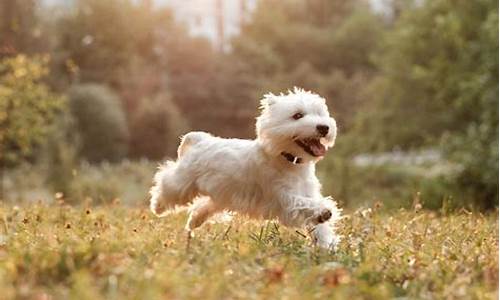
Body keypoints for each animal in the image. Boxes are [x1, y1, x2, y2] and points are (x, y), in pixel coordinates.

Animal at [150, 86, 342, 248]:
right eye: (297, 116)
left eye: (320, 113)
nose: (324, 127)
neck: (290, 161)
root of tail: (199, 140)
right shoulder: (282, 196)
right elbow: (303, 205)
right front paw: (324, 212)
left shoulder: (308, 192)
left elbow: (319, 224)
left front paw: (326, 245)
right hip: (184, 181)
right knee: (167, 181)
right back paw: (157, 207)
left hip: (222, 194)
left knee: (204, 205)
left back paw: (194, 221)